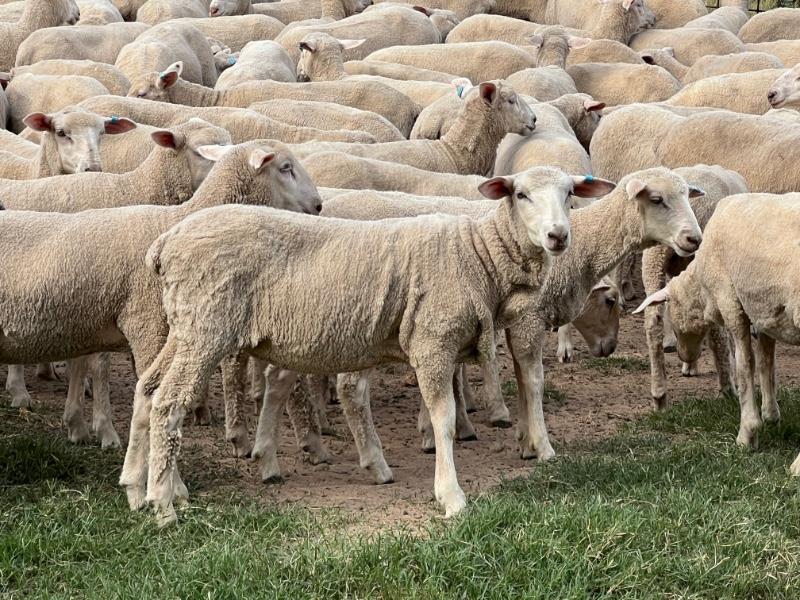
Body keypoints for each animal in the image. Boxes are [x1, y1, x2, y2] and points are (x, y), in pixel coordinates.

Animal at [136, 166, 592, 524]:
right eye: (521, 194)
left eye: (570, 194)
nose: (557, 236)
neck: (478, 255)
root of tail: (164, 244)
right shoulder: (433, 343)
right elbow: (443, 419)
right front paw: (451, 496)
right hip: (206, 330)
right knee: (169, 403)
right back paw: (163, 505)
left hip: (186, 330)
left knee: (148, 389)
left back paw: (146, 489)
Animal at [634, 194, 800, 465]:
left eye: (675, 328)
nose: (683, 355)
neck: (701, 287)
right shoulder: (763, 307)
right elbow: (767, 361)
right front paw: (771, 415)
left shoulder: (730, 301)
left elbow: (744, 365)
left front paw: (748, 433)